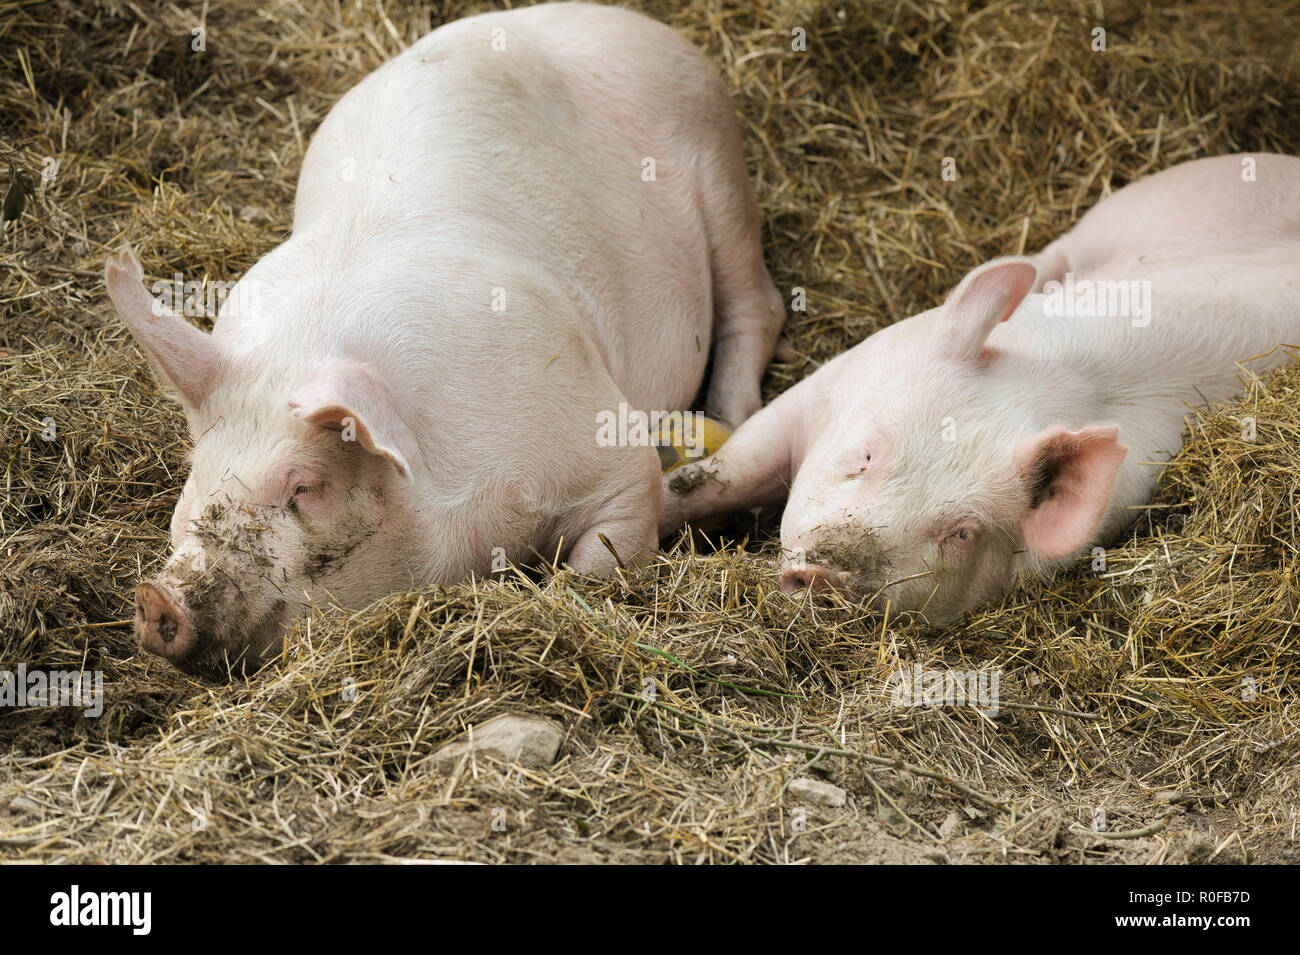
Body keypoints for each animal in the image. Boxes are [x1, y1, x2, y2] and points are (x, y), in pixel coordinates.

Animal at [105, 3, 785, 676]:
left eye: (304, 486)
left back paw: (731, 418)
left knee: (760, 304)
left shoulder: (612, 451)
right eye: (200, 476)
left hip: (719, 163)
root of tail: (623, 19)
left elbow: (604, 557)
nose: (156, 599)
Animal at [661, 153, 1300, 625]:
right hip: (1135, 207)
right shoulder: (827, 384)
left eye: (962, 532)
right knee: (1039, 259)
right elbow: (726, 470)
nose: (824, 576)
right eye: (866, 455)